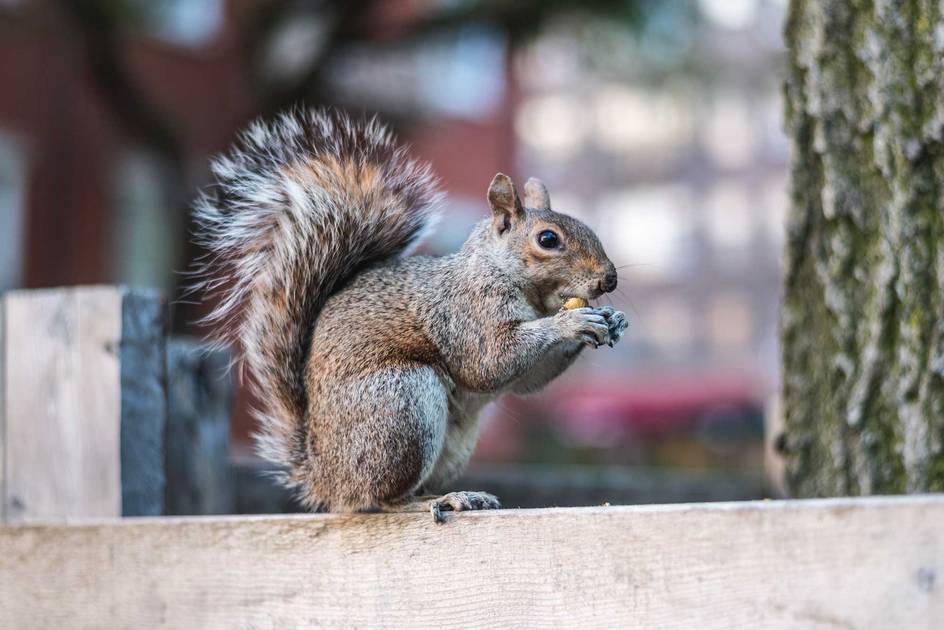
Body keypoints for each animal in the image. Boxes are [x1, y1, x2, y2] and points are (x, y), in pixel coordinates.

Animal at [193, 108, 627, 522]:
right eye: (547, 239)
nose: (609, 278)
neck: (520, 286)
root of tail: (326, 478)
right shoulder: (465, 311)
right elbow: (489, 363)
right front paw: (570, 323)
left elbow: (526, 381)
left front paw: (612, 321)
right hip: (400, 406)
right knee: (379, 500)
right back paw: (437, 500)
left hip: (449, 440)